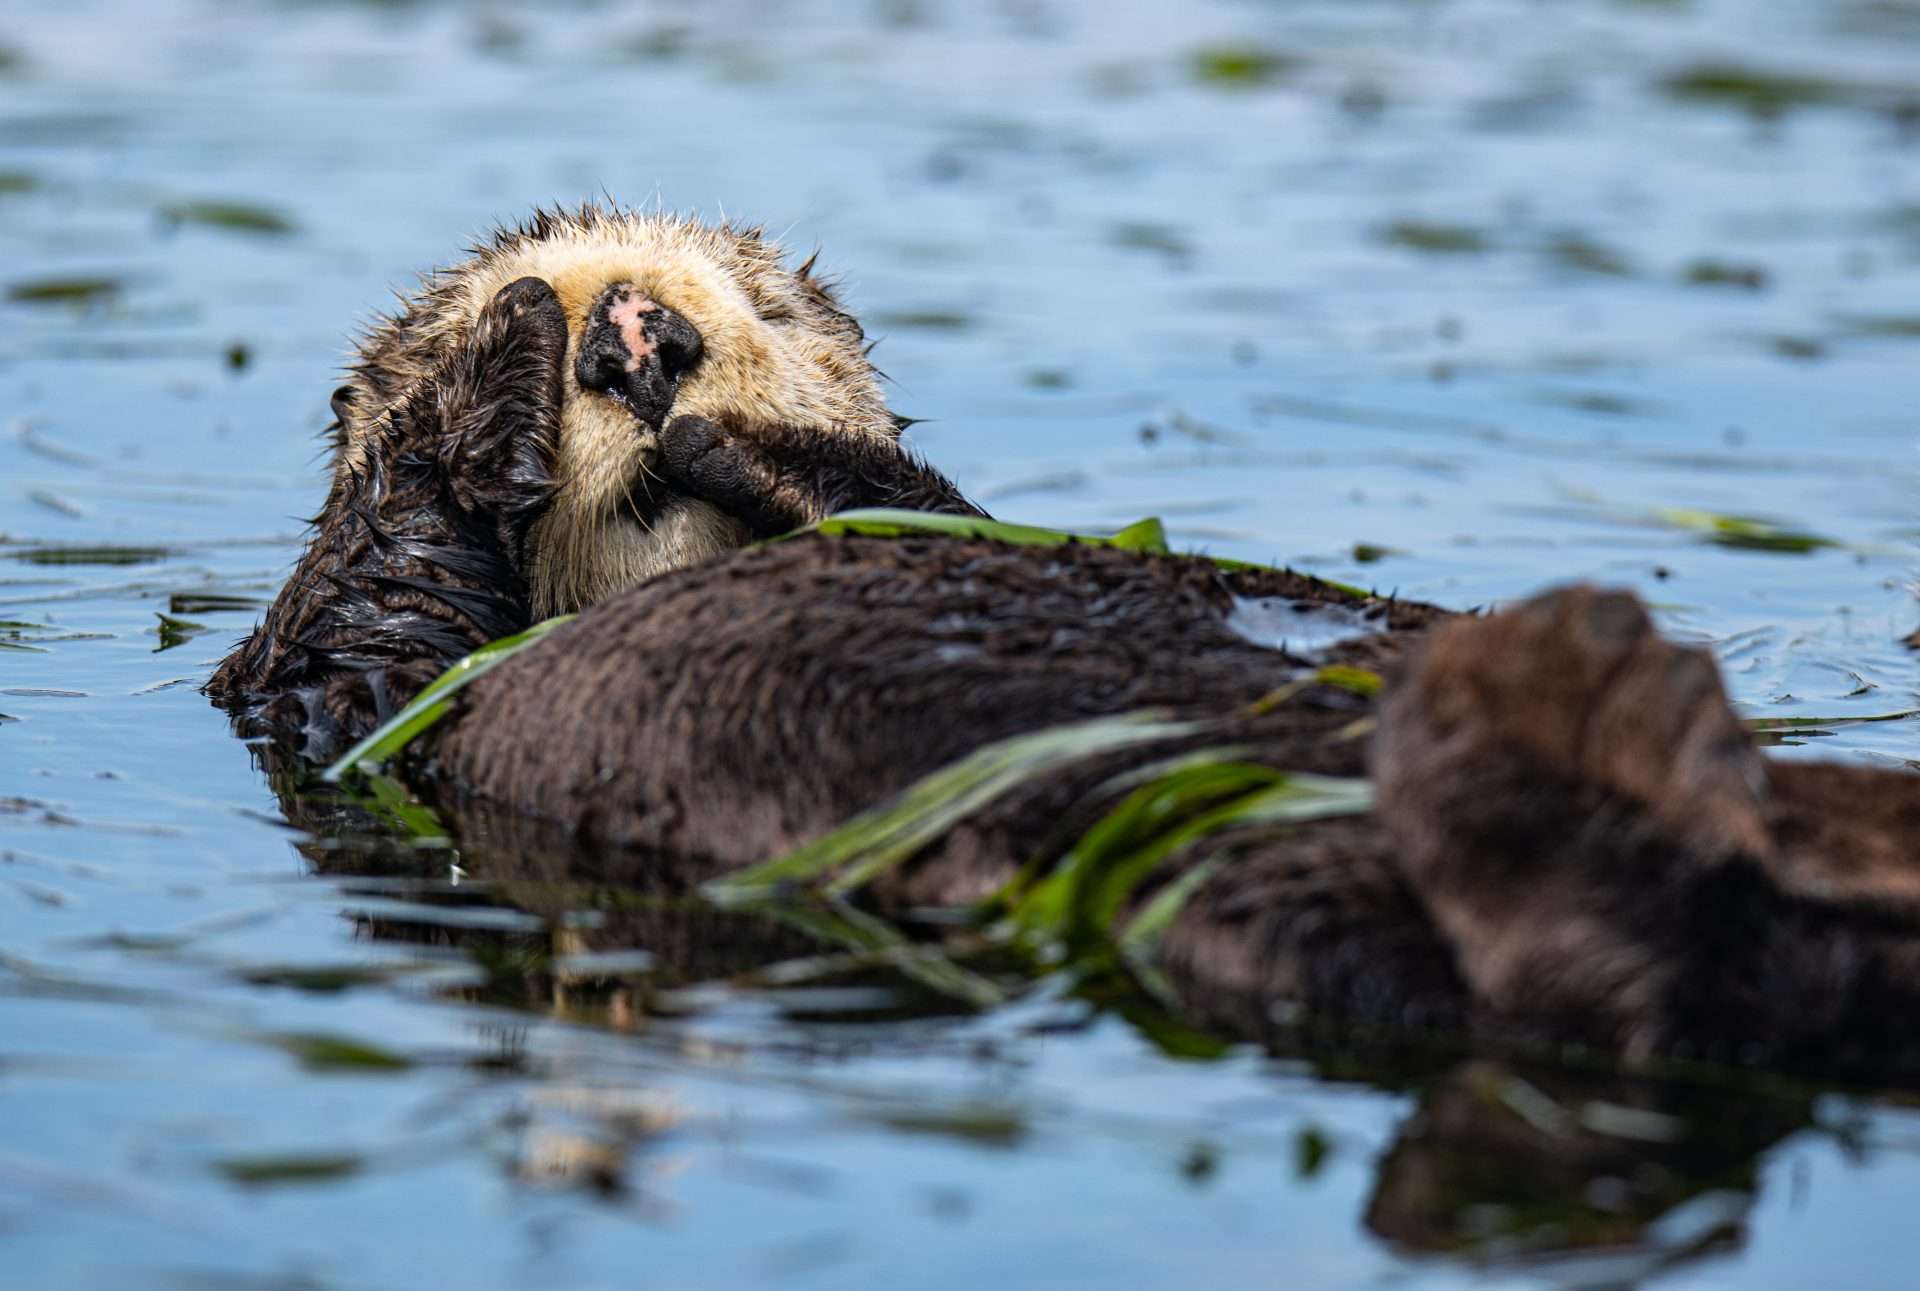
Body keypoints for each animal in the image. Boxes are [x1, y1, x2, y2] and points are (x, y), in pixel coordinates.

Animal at [216, 206, 1920, 1081]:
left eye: (768, 300)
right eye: (466, 306)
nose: (637, 329)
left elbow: (934, 513)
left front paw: (763, 446)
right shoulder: (328, 706)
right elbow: (365, 602)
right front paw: (490, 369)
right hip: (1252, 898)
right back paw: (1590, 693)